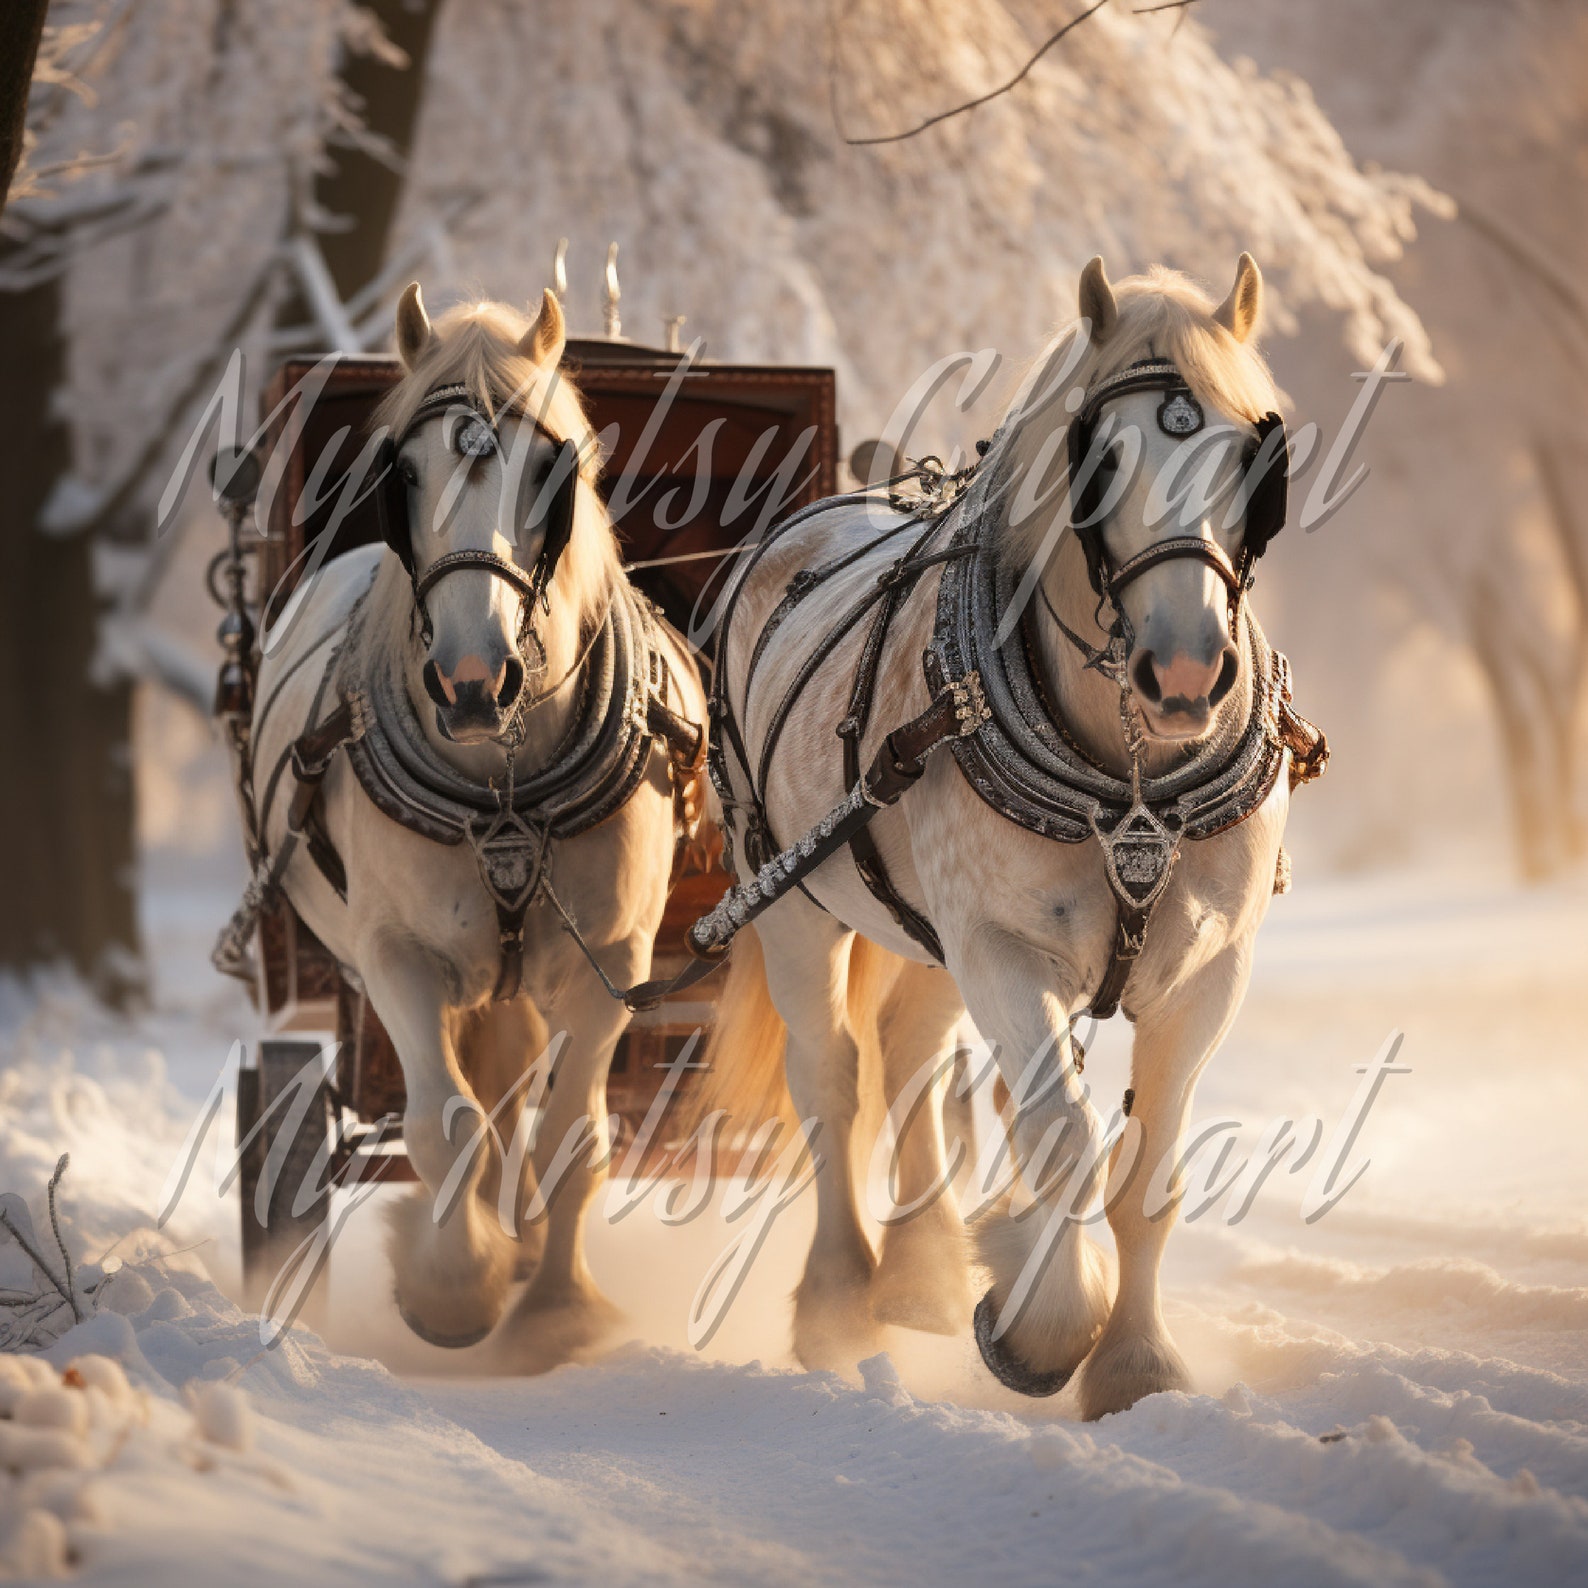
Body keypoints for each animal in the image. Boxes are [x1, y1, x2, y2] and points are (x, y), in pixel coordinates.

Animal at [250, 284, 707, 1367]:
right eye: (404, 472)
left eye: (548, 472)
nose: (469, 681)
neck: (504, 787)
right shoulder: (397, 956)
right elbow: (444, 1127)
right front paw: (454, 1290)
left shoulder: (610, 961)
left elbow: (573, 1138)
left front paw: (554, 1307)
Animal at [697, 254, 1324, 1418]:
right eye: (1099, 461)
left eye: (1251, 457)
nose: (1185, 673)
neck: (1129, 786)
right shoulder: (1003, 950)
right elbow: (1066, 1142)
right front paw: (1041, 1329)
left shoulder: (1209, 972)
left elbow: (1148, 1179)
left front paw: (1135, 1363)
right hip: (794, 901)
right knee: (832, 1078)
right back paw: (840, 1300)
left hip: (927, 928)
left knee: (907, 1055)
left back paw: (921, 1275)